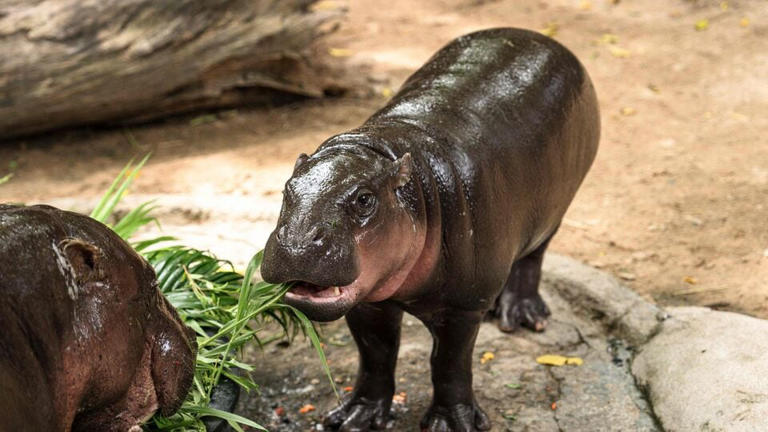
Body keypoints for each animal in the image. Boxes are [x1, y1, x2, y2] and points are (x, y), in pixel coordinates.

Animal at [261, 28, 599, 431]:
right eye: (287, 188)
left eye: (364, 199)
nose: (297, 245)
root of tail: (540, 37)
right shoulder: (368, 301)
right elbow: (376, 355)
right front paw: (355, 417)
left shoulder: (461, 307)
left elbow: (449, 365)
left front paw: (452, 423)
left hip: (554, 213)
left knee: (532, 258)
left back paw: (521, 316)